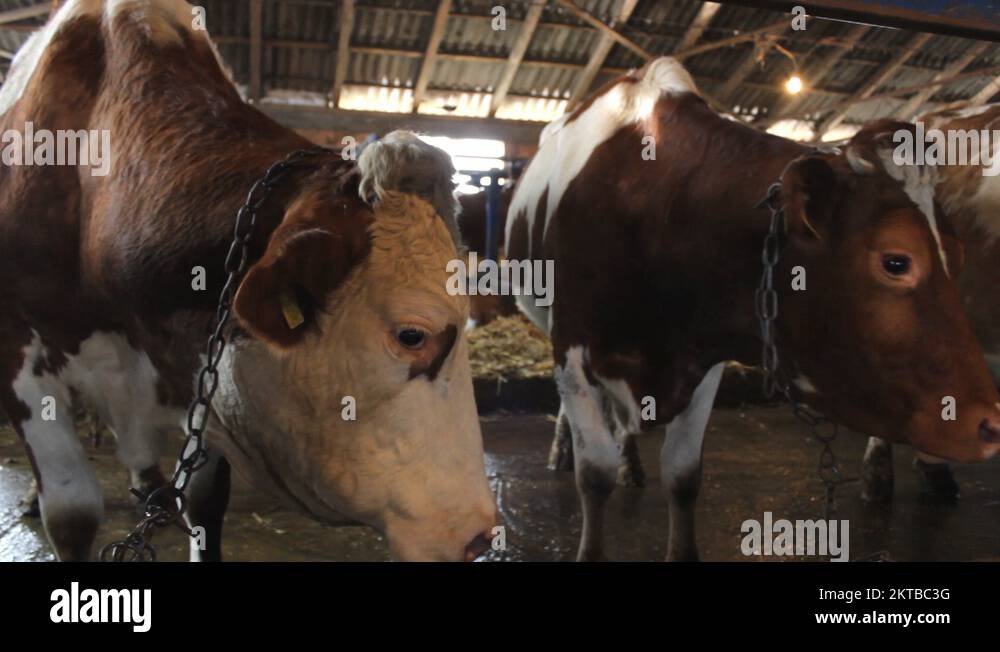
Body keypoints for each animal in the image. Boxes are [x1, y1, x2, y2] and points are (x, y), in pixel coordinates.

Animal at [0, 0, 496, 562]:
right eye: (412, 335)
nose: (481, 534)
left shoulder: (200, 372)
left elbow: (203, 501)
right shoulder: (19, 353)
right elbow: (72, 511)